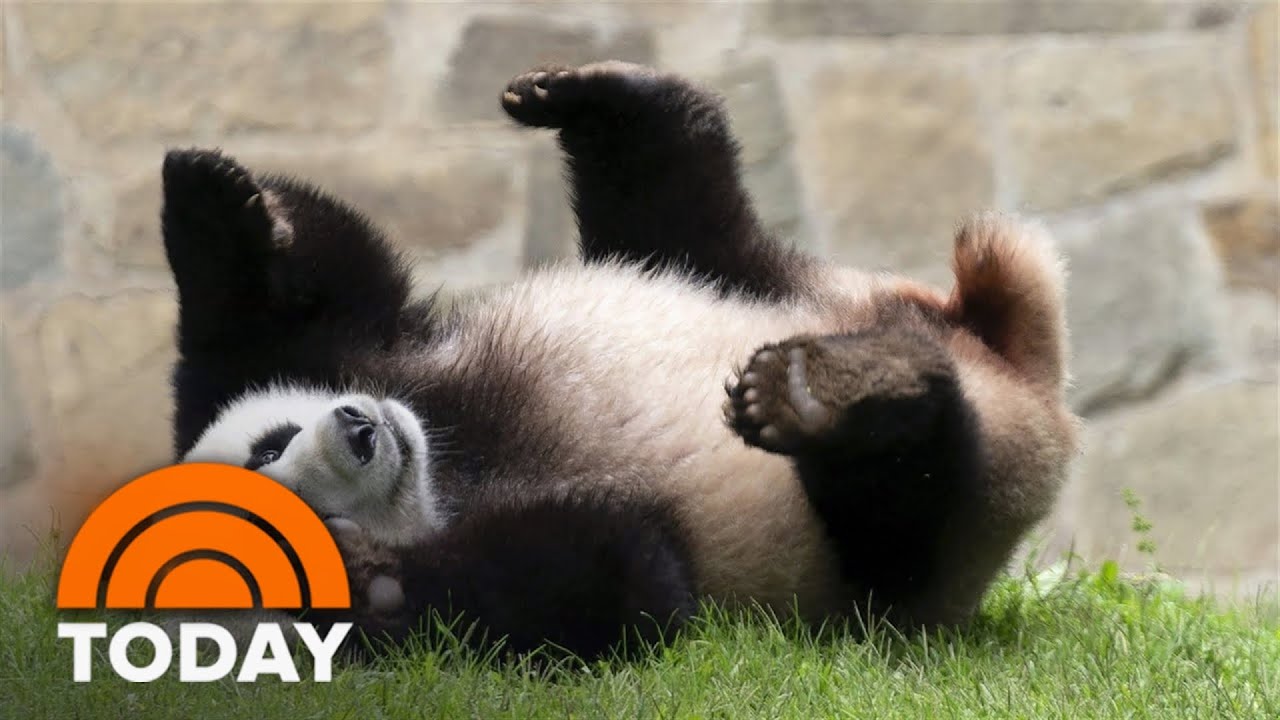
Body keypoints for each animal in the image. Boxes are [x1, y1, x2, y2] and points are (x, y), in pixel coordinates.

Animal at [166, 61, 1079, 659]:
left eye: (274, 443)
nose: (360, 429)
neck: (450, 462)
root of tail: (1019, 372)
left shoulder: (367, 357)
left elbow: (319, 295)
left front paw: (210, 201)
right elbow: (622, 584)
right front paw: (377, 581)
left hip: (779, 284)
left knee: (684, 214)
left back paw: (601, 98)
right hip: (914, 553)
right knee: (906, 498)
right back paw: (840, 397)